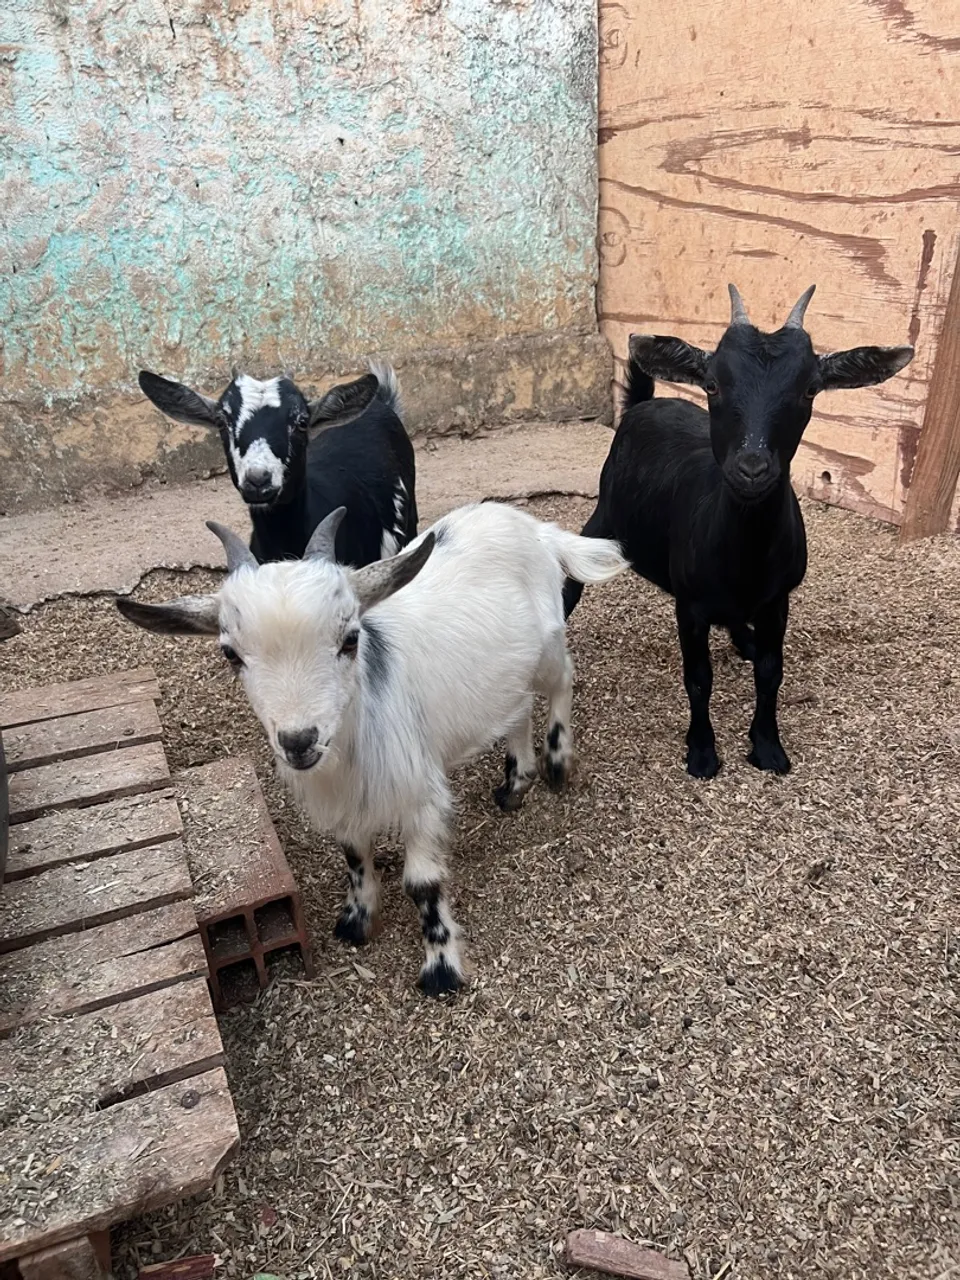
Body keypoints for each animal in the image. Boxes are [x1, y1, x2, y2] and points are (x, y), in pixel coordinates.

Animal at [116, 502, 629, 996]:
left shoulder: (420, 795)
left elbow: (423, 885)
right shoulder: (346, 805)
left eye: (350, 639)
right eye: (230, 653)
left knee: (563, 681)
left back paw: (557, 764)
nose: (299, 741)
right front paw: (357, 922)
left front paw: (441, 970)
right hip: (505, 677)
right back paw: (514, 784)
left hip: (548, 649)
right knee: (517, 709)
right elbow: (354, 858)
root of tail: (537, 528)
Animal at [564, 283, 914, 779]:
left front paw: (767, 746)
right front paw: (702, 752)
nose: (752, 469)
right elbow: (698, 678)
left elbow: (770, 671)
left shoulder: (777, 600)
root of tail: (644, 403)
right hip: (605, 517)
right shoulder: (690, 606)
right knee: (572, 576)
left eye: (810, 389)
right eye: (712, 384)